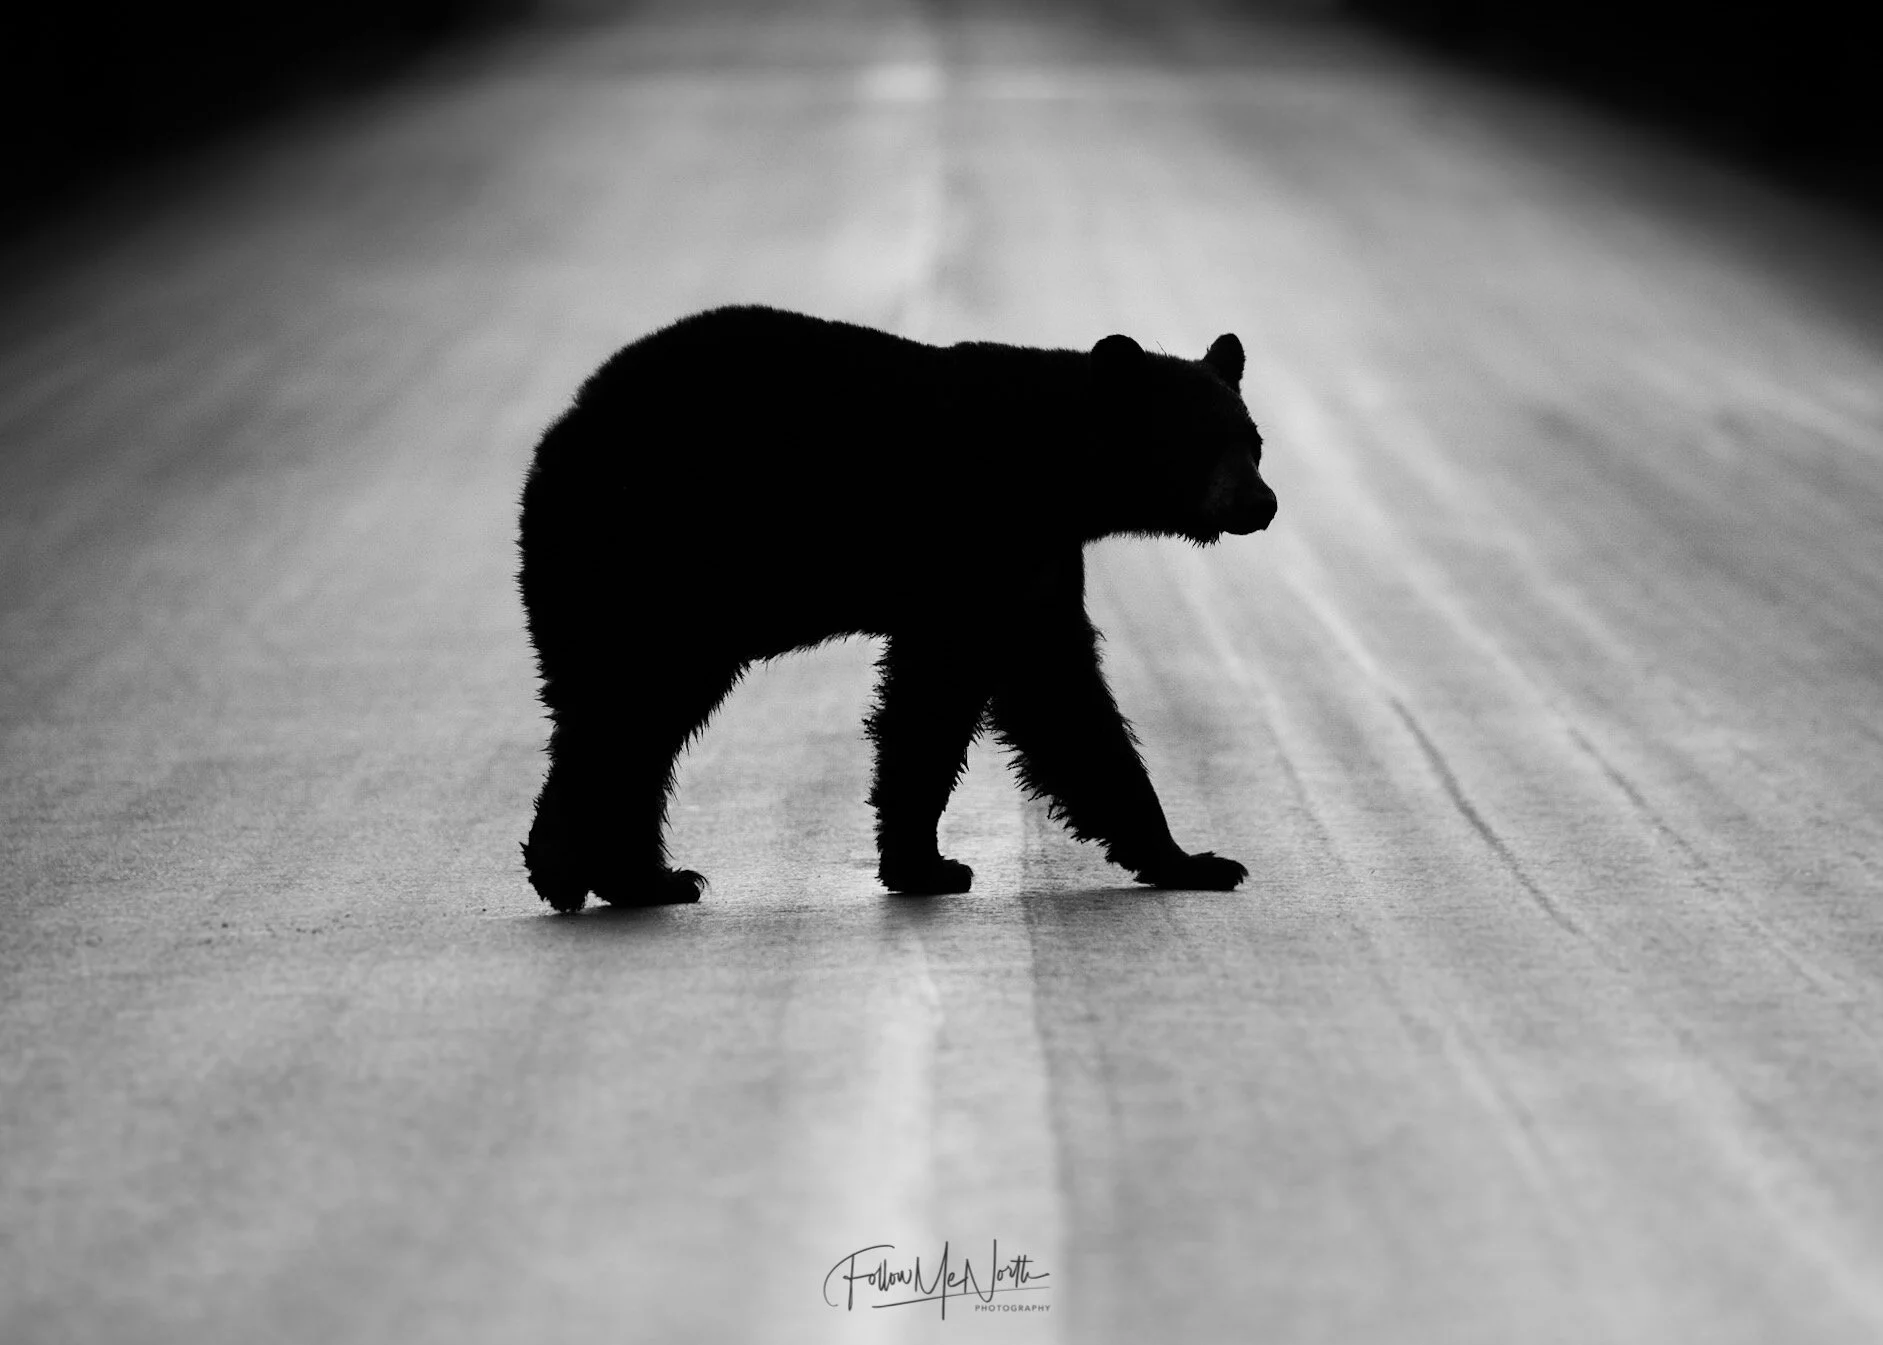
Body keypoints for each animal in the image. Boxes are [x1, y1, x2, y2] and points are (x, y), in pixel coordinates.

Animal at [517, 305, 1276, 911]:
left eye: (1253, 441)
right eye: (1202, 443)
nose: (1262, 503)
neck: (1054, 470)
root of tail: (564, 426)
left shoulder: (1036, 563)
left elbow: (1050, 693)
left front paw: (1189, 860)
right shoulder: (977, 542)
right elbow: (953, 694)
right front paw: (930, 866)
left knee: (626, 719)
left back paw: (635, 878)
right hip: (650, 562)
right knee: (630, 710)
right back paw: (580, 870)